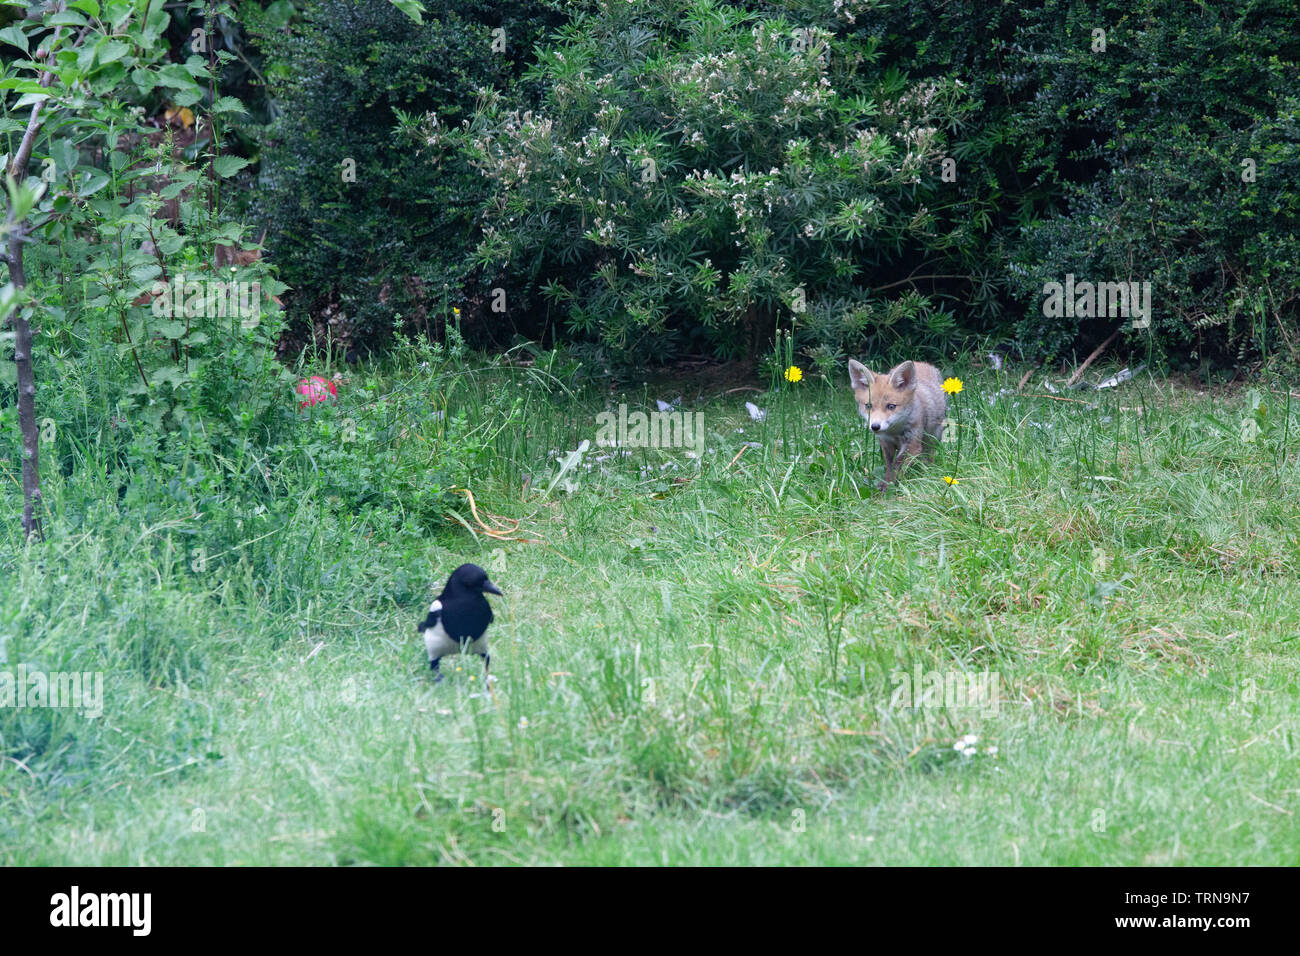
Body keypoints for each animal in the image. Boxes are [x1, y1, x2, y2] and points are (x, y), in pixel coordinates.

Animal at [848, 358, 948, 490]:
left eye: (891, 406)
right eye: (868, 406)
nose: (875, 427)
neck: (894, 432)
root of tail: (920, 362)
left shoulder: (912, 444)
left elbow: (897, 465)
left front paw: (887, 485)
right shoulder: (886, 443)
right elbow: (890, 465)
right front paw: (886, 481)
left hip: (933, 436)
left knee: (929, 451)